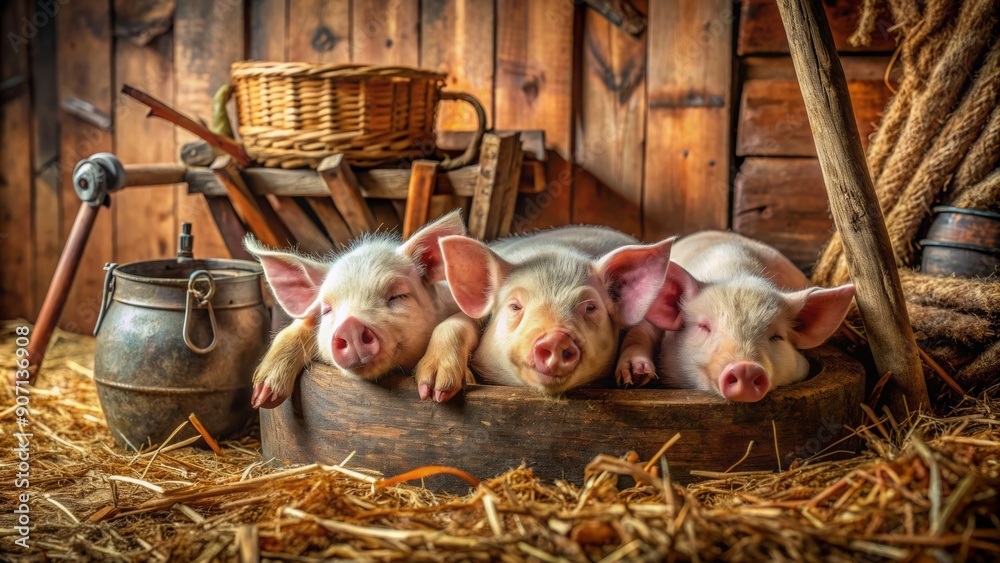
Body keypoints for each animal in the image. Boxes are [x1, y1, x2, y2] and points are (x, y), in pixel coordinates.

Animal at [246, 211, 467, 408]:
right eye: (326, 309)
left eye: (397, 296)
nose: (350, 325)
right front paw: (262, 397)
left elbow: (456, 323)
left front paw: (434, 392)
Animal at [413, 226, 675, 399]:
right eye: (515, 306)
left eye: (590, 307)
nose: (555, 338)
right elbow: (454, 322)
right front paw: (435, 391)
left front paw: (635, 377)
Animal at [616, 230, 855, 402]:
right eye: (704, 327)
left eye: (776, 337)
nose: (745, 368)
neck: (735, 271)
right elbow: (641, 331)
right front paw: (635, 376)